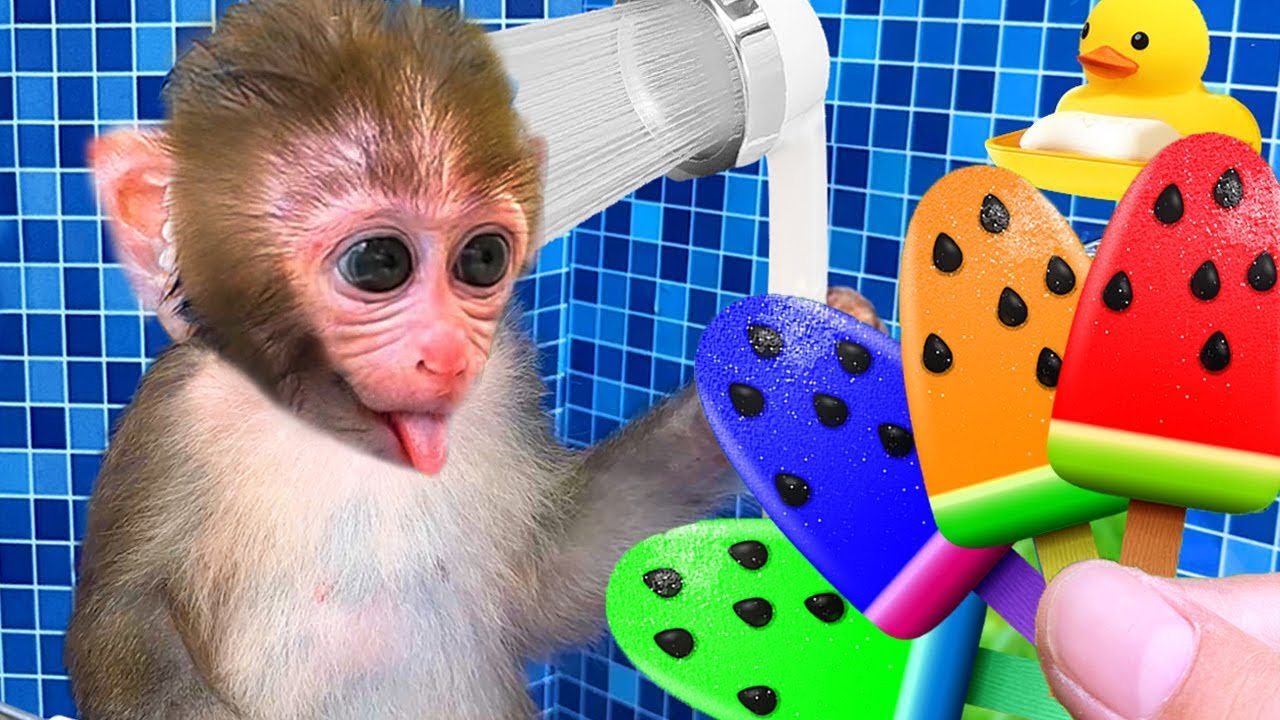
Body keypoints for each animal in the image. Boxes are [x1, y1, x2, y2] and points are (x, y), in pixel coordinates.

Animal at [63, 1, 884, 717]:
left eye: (483, 257)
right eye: (377, 263)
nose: (445, 350)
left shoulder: (506, 377)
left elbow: (554, 576)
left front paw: (775, 372)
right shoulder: (176, 419)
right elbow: (120, 618)